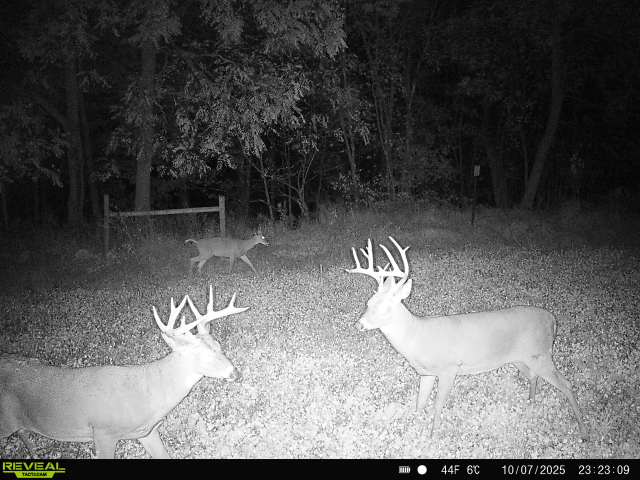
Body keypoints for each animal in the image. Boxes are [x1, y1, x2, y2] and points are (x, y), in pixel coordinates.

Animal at [0, 285, 248, 458]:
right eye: (199, 355)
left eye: (219, 346)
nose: (235, 373)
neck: (147, 394)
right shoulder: (103, 432)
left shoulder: (147, 432)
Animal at [346, 237, 587, 439]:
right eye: (368, 303)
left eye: (386, 307)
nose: (360, 324)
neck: (417, 337)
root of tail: (552, 320)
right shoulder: (426, 373)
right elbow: (419, 403)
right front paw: (414, 429)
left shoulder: (450, 368)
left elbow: (437, 405)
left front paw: (432, 437)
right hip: (521, 358)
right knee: (533, 376)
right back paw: (531, 402)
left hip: (542, 354)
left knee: (567, 384)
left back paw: (584, 432)